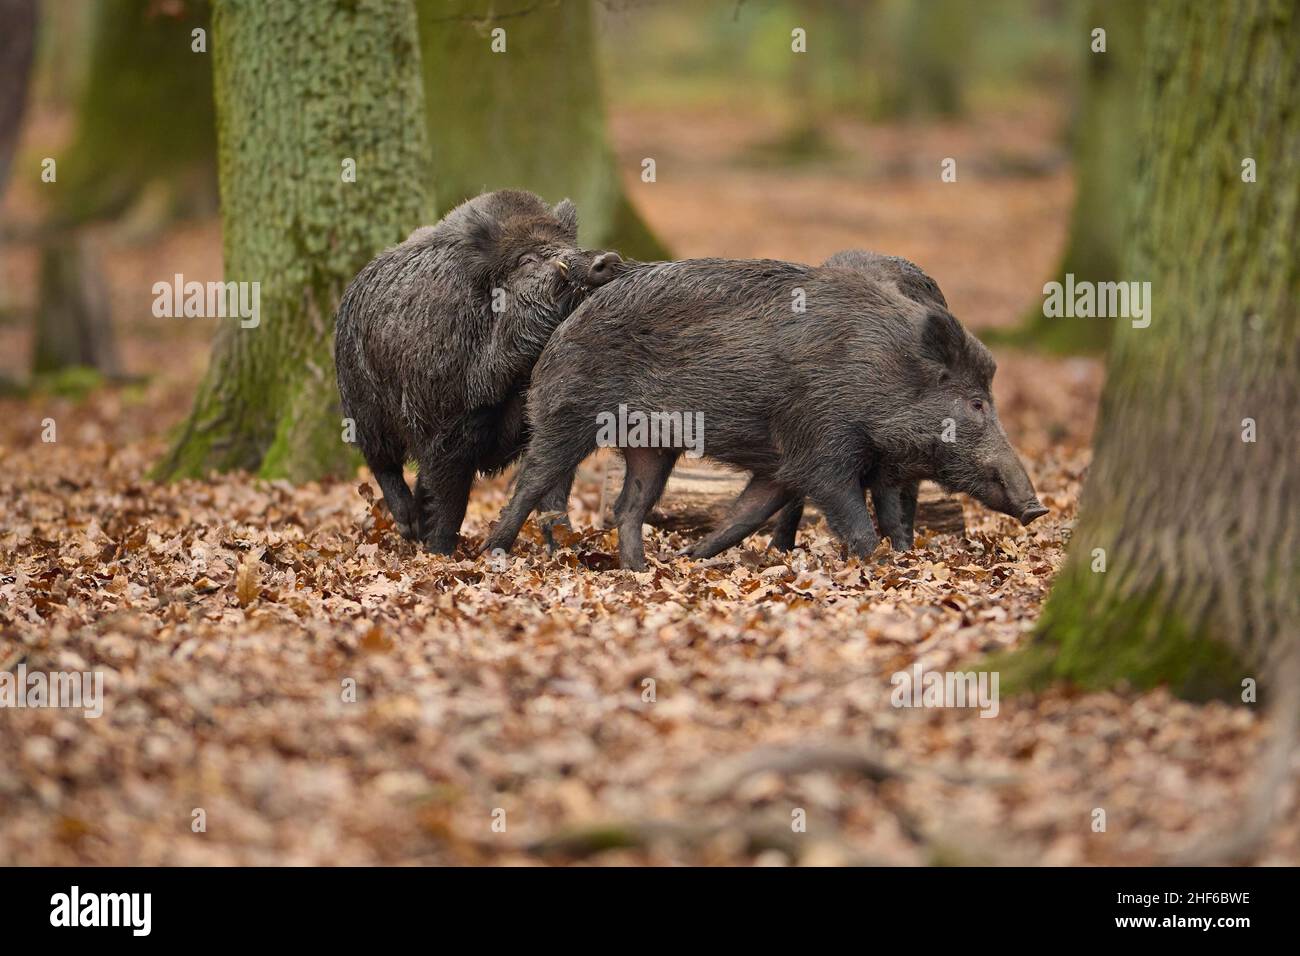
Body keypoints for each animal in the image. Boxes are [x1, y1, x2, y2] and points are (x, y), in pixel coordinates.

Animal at [334, 189, 623, 554]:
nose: (606, 259)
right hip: (361, 402)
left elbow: (553, 489)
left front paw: (565, 546)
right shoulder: (446, 424)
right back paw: (409, 528)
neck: (517, 373)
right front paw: (439, 552)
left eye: (566, 244)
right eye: (527, 260)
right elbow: (452, 498)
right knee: (382, 462)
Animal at [481, 257, 1046, 570]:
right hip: (566, 414)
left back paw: (640, 570)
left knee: (628, 506)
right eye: (977, 403)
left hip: (653, 447)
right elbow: (851, 517)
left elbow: (745, 514)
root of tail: (568, 321)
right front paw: (879, 566)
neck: (880, 373)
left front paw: (689, 559)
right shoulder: (820, 447)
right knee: (531, 481)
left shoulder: (783, 465)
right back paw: (493, 552)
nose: (1037, 507)